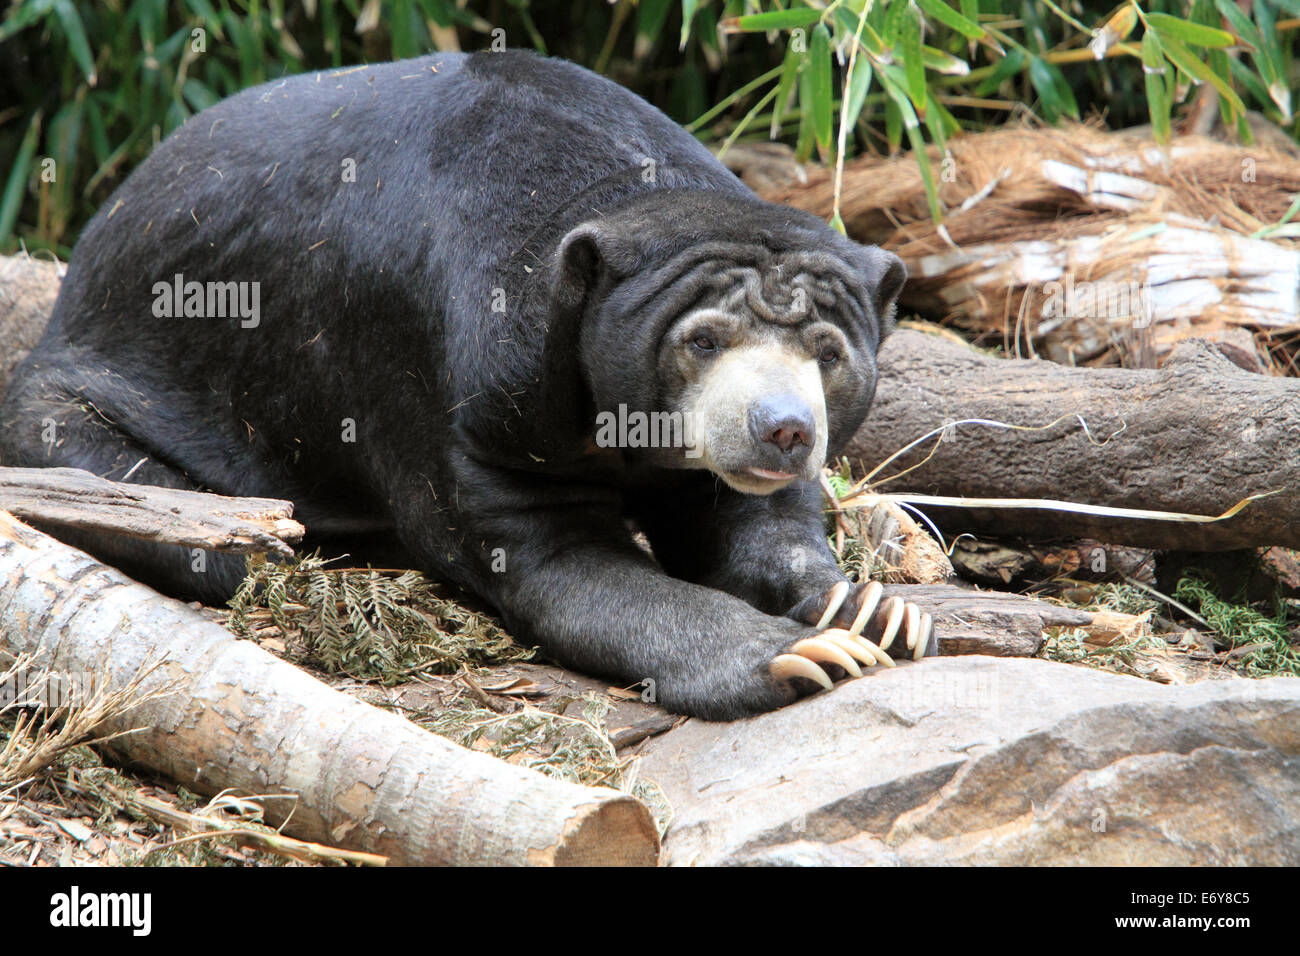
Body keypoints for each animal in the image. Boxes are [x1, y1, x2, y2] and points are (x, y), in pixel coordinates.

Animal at [0, 50, 932, 720]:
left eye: (828, 353)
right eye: (702, 341)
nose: (783, 429)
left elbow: (754, 524)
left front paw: (870, 612)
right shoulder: (455, 389)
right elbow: (554, 560)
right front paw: (794, 655)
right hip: (91, 392)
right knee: (167, 511)